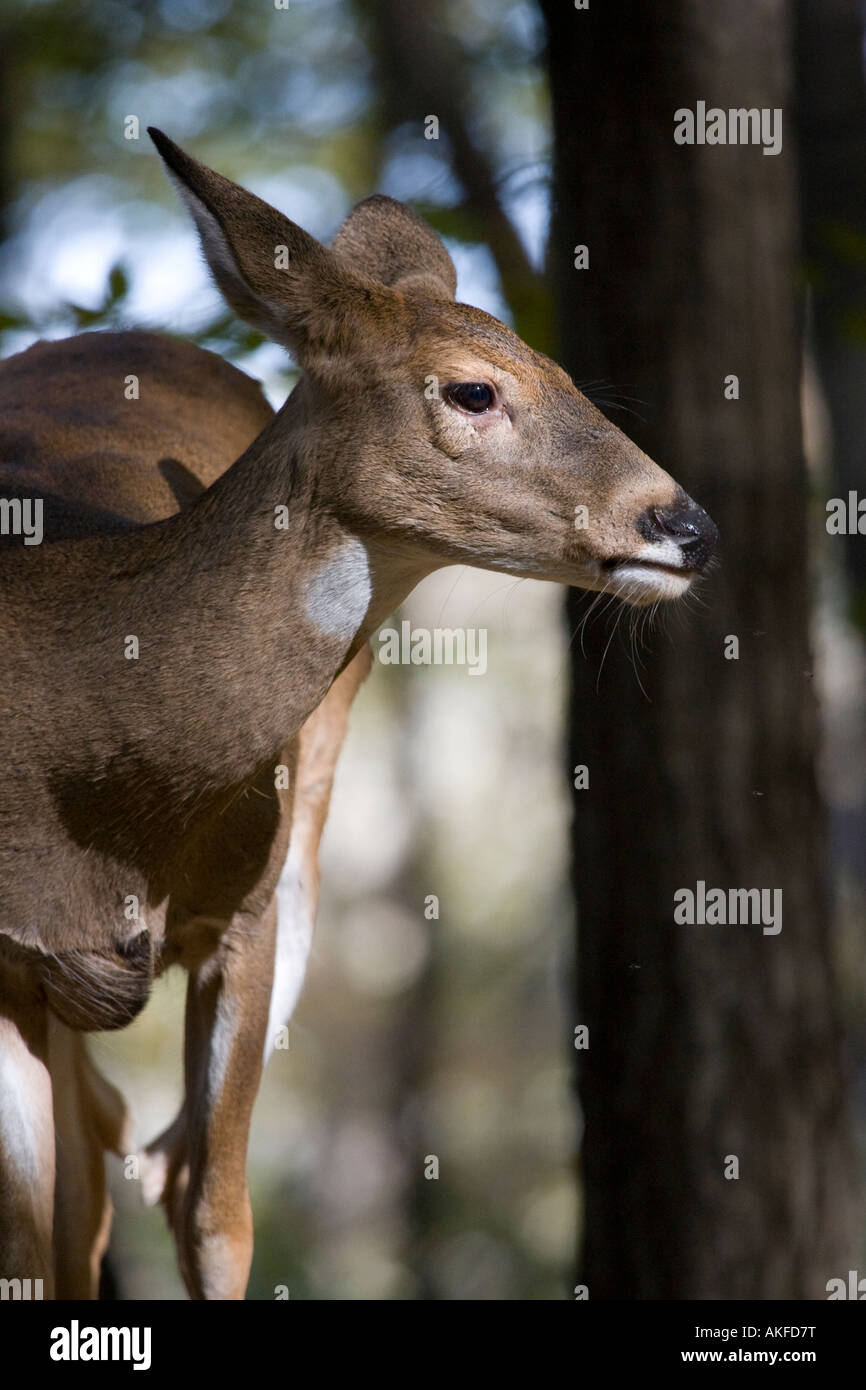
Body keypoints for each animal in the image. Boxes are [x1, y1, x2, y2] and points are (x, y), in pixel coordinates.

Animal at [0, 128, 717, 1301]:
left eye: (571, 371)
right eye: (472, 390)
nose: (687, 526)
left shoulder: (249, 911)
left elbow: (217, 1221)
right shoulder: (5, 960)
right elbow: (27, 1241)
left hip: (314, 817)